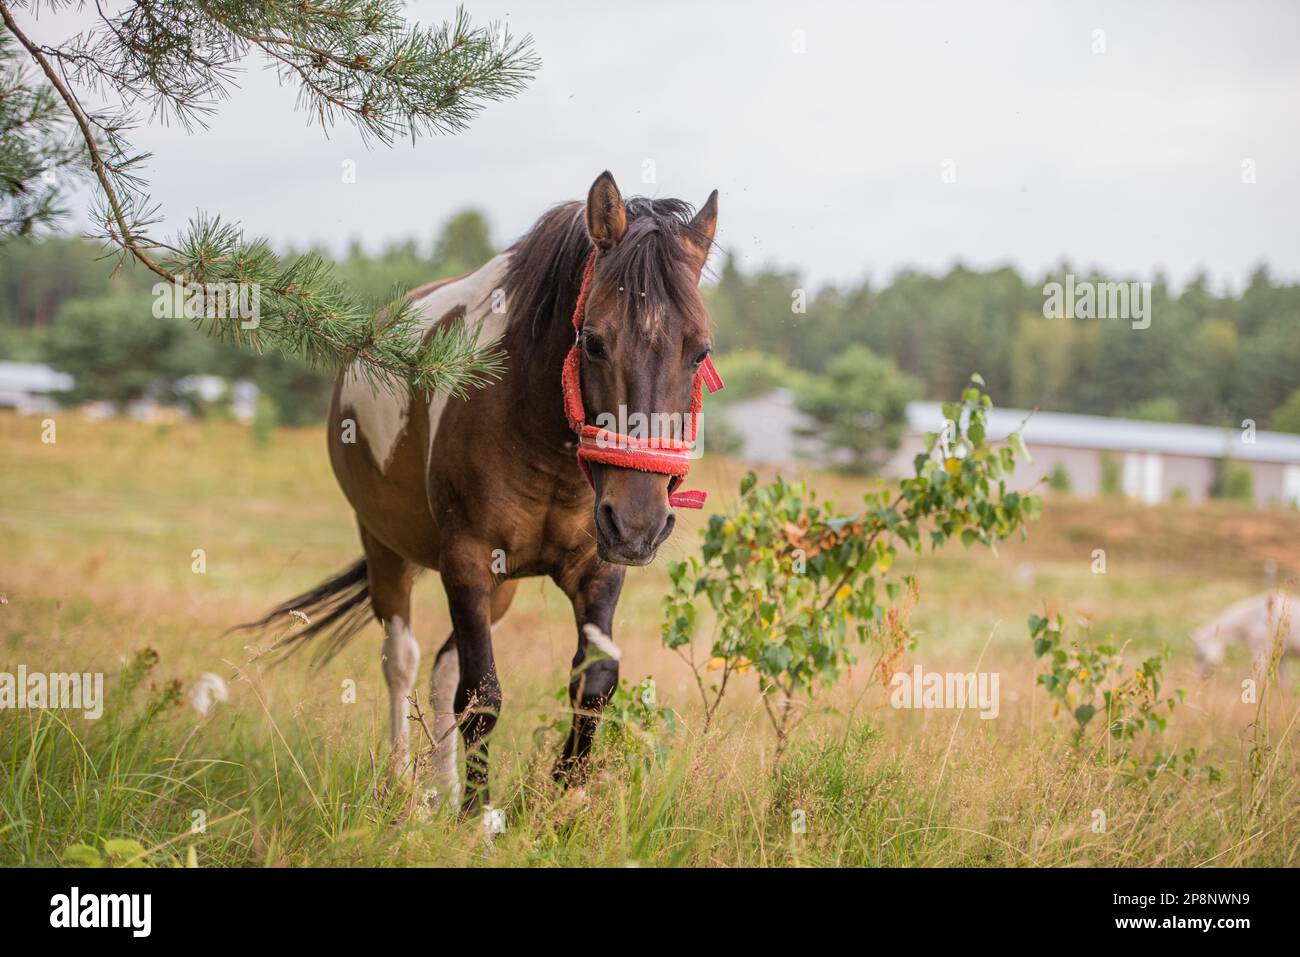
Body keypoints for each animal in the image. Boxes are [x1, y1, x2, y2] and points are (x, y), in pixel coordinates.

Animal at [242, 172, 720, 813]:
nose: (639, 523)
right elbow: (483, 695)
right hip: (387, 550)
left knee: (443, 671)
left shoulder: (597, 568)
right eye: (594, 341)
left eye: (700, 351)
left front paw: (562, 800)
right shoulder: (466, 561)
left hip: (503, 589)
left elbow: (592, 682)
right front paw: (477, 813)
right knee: (403, 660)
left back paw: (441, 794)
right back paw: (405, 788)